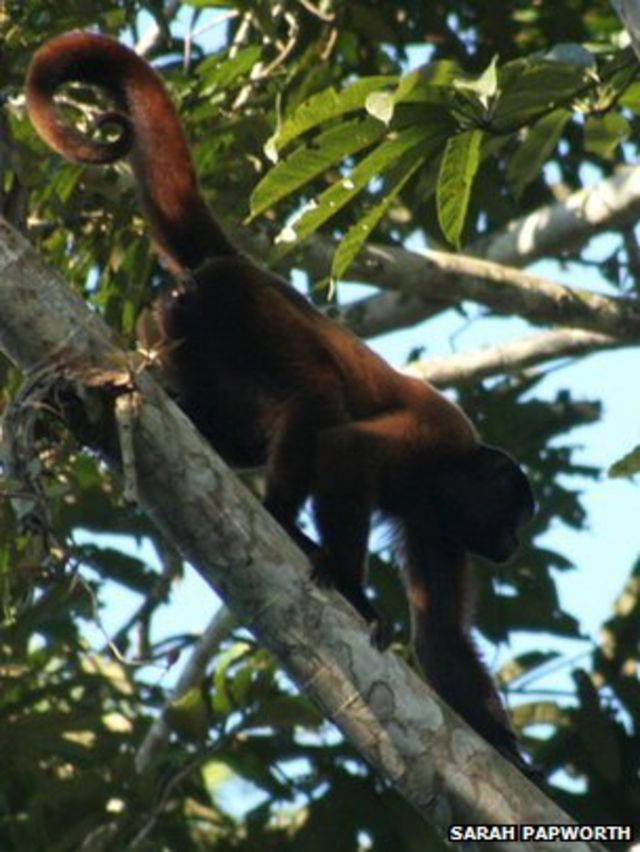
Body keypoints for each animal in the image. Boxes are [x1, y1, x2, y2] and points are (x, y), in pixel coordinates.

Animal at [26, 32, 536, 774]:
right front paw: (353, 589)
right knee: (317, 394)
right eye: (517, 515)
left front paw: (508, 750)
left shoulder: (442, 529)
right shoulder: (435, 439)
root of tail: (243, 268)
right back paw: (289, 528)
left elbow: (440, 637)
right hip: (243, 310)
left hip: (183, 332)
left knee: (237, 424)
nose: (513, 545)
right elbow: (346, 448)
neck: (450, 477)